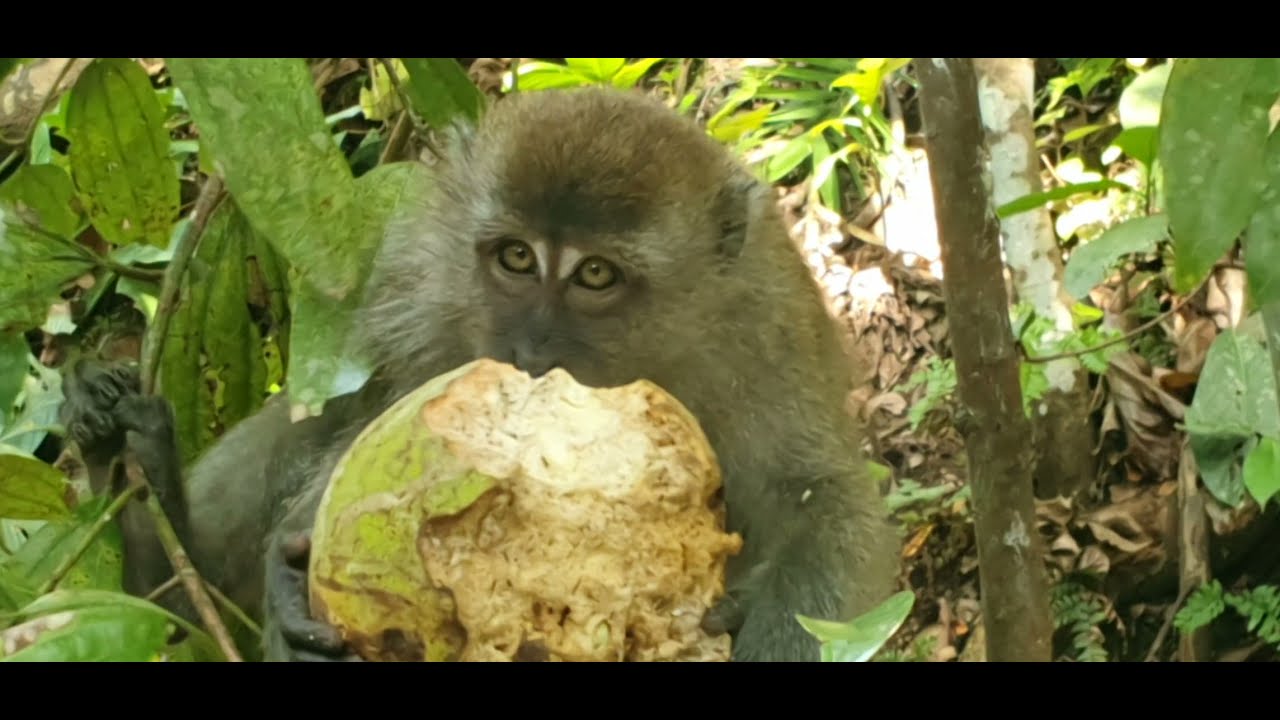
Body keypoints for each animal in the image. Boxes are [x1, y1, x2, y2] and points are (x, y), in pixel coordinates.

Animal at [61, 85, 901, 662]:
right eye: (517, 258)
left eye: (596, 274)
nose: (530, 350)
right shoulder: (426, 291)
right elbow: (373, 417)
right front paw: (291, 583)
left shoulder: (764, 336)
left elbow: (822, 499)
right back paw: (149, 524)